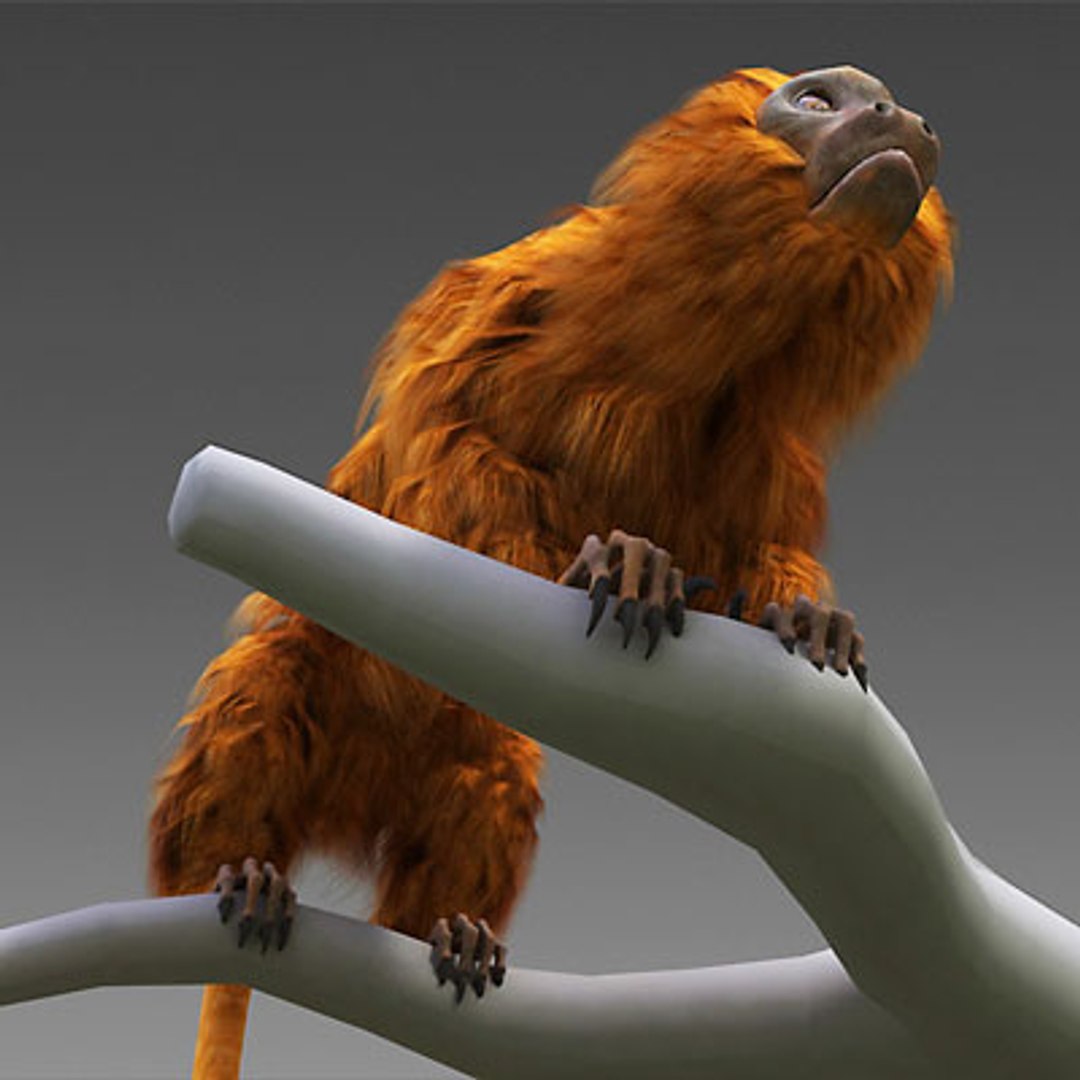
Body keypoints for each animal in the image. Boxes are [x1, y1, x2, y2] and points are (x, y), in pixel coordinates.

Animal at [149, 65, 953, 1079]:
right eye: (817, 101)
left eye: (894, 111)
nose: (905, 123)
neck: (711, 345)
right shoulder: (515, 294)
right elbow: (445, 456)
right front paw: (617, 560)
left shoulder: (768, 443)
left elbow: (751, 554)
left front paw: (805, 615)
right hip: (302, 689)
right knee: (256, 698)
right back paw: (242, 872)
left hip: (456, 762)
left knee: (486, 787)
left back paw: (447, 929)